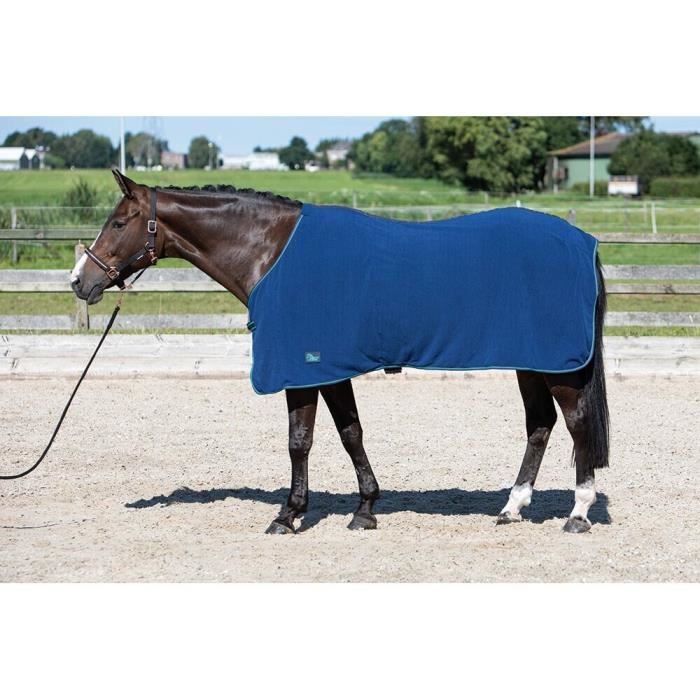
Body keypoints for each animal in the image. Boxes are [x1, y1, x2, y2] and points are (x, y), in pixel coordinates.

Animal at [71, 169, 609, 535]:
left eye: (118, 222)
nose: (80, 280)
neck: (272, 253)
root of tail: (584, 241)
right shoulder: (329, 368)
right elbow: (350, 433)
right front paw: (365, 509)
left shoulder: (302, 367)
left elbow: (300, 441)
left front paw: (288, 515)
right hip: (533, 362)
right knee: (540, 425)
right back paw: (512, 508)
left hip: (559, 367)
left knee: (577, 424)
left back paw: (578, 512)